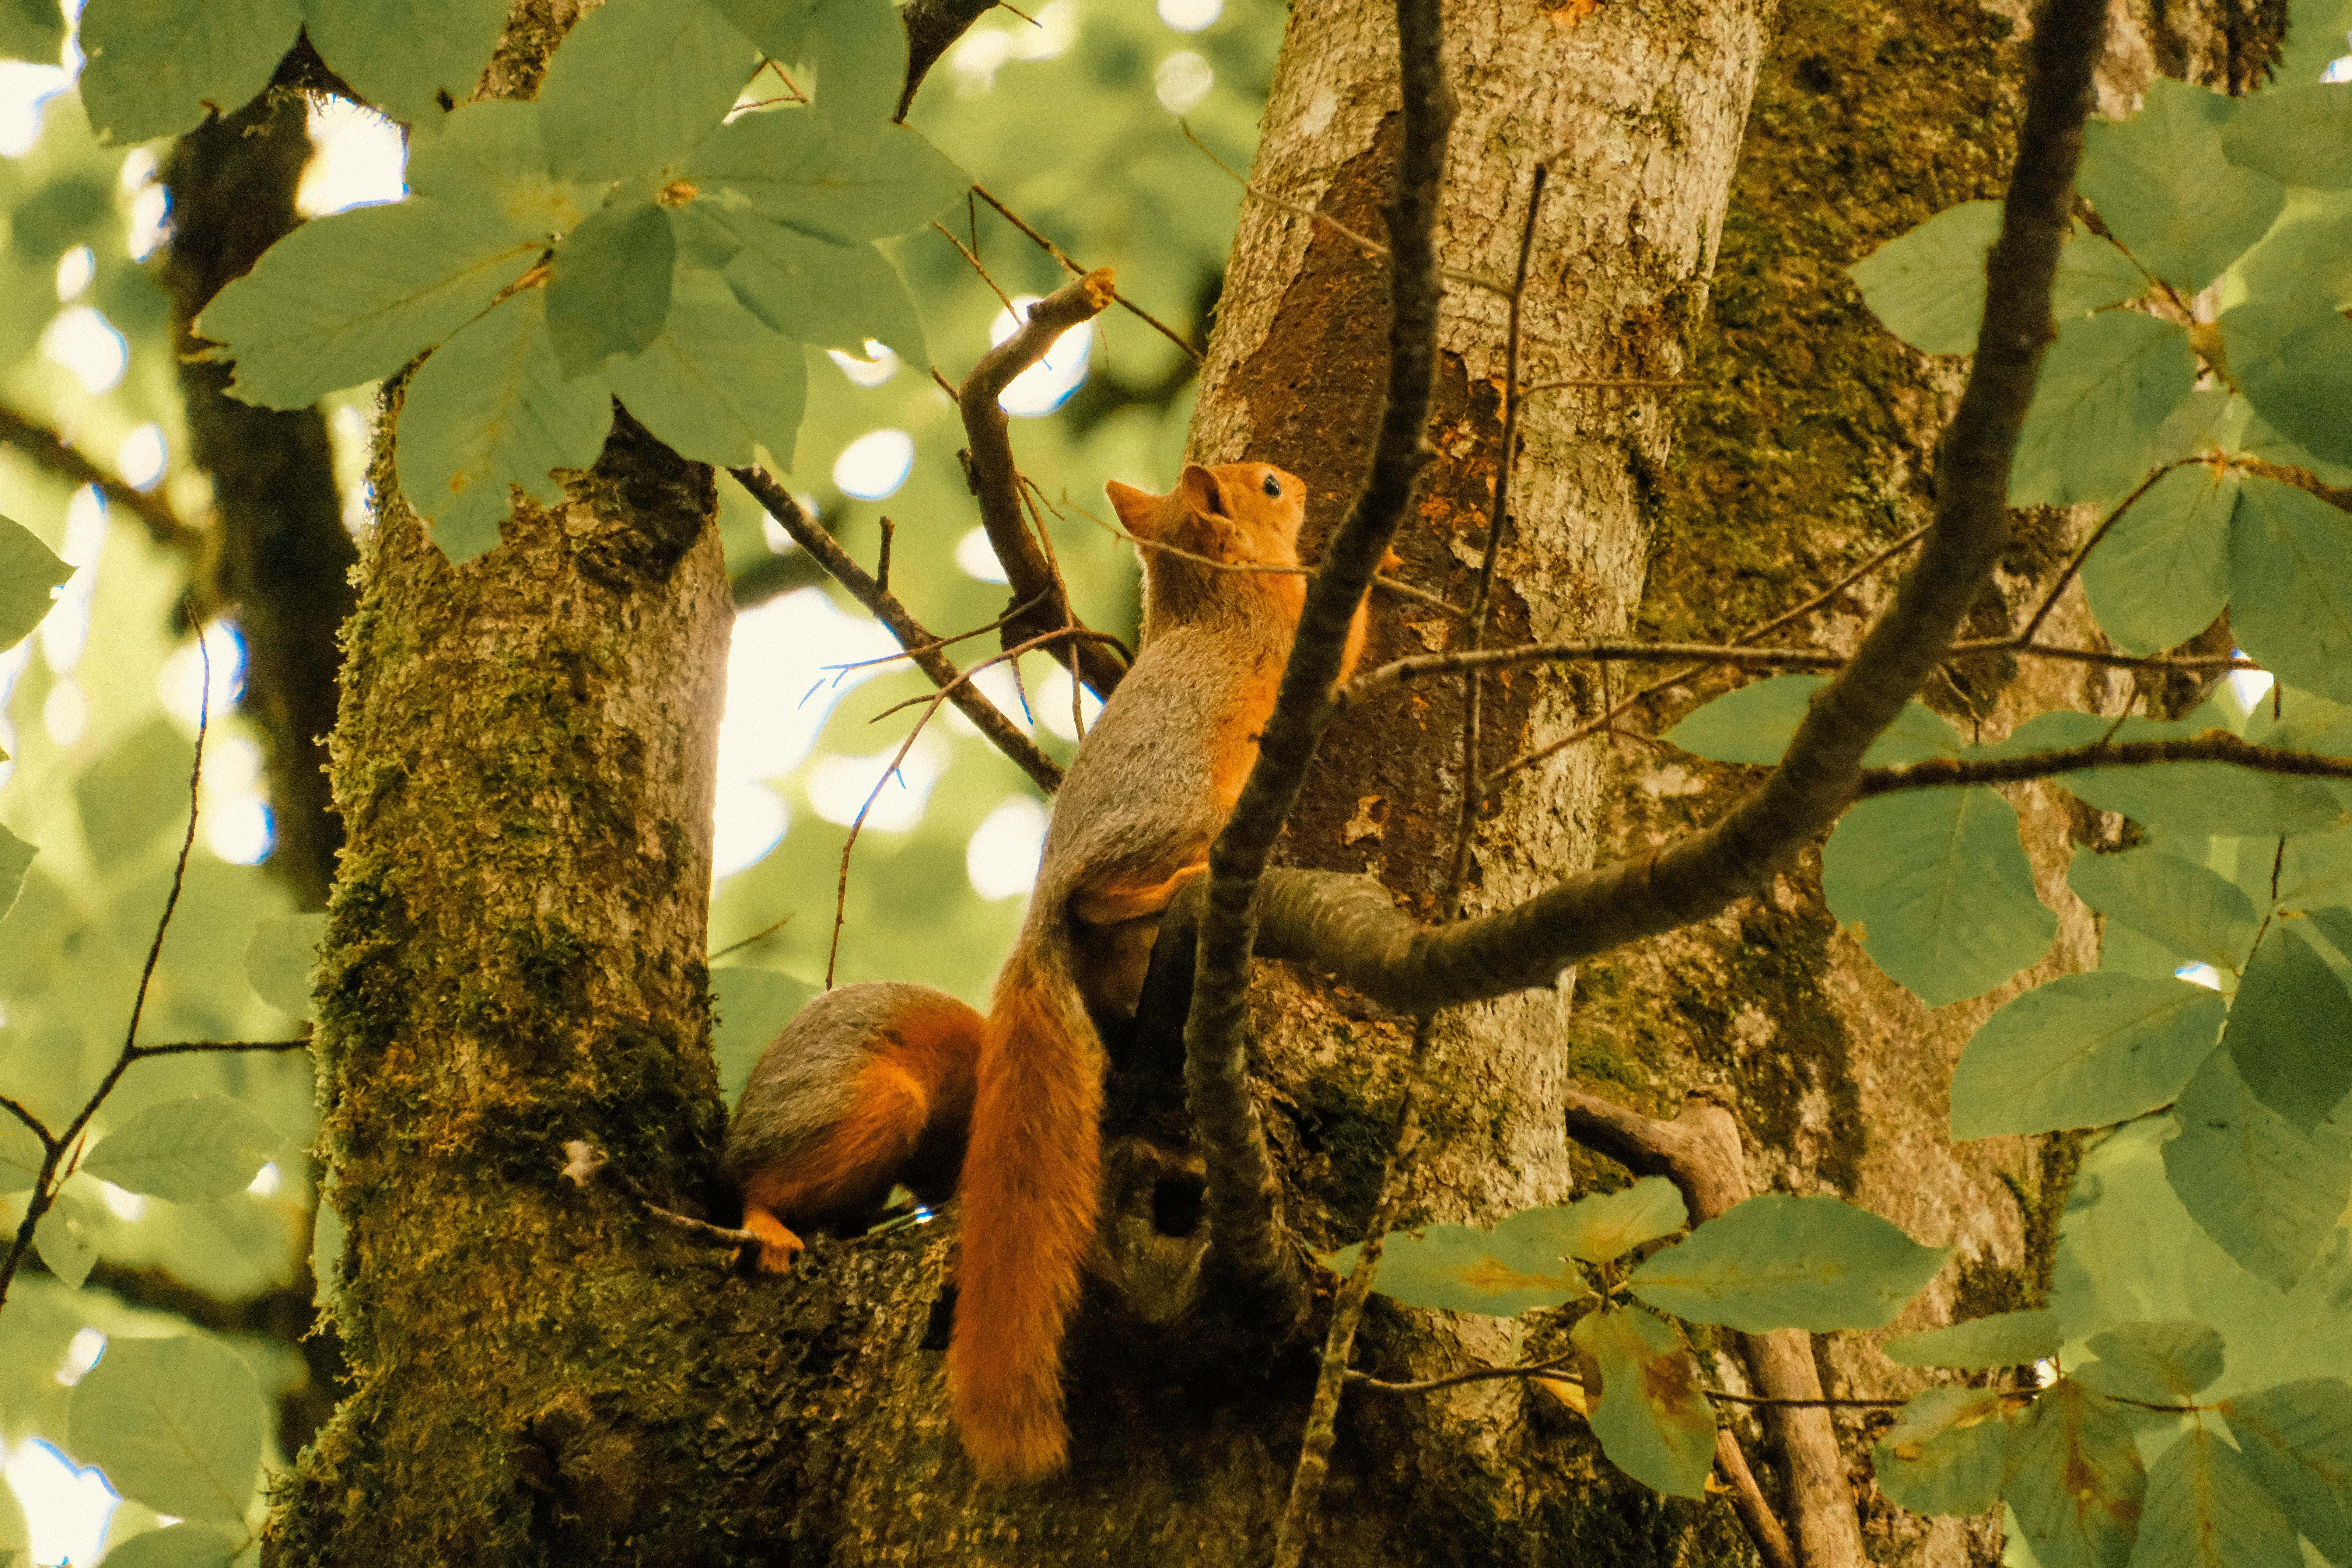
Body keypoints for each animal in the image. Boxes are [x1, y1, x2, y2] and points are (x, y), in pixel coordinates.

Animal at [721, 461, 1368, 1482]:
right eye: (1268, 486)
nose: (1300, 482)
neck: (1206, 586)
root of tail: (1042, 915)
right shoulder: (1295, 629)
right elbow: (1347, 634)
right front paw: (1375, 550)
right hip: (1179, 814)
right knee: (1105, 896)